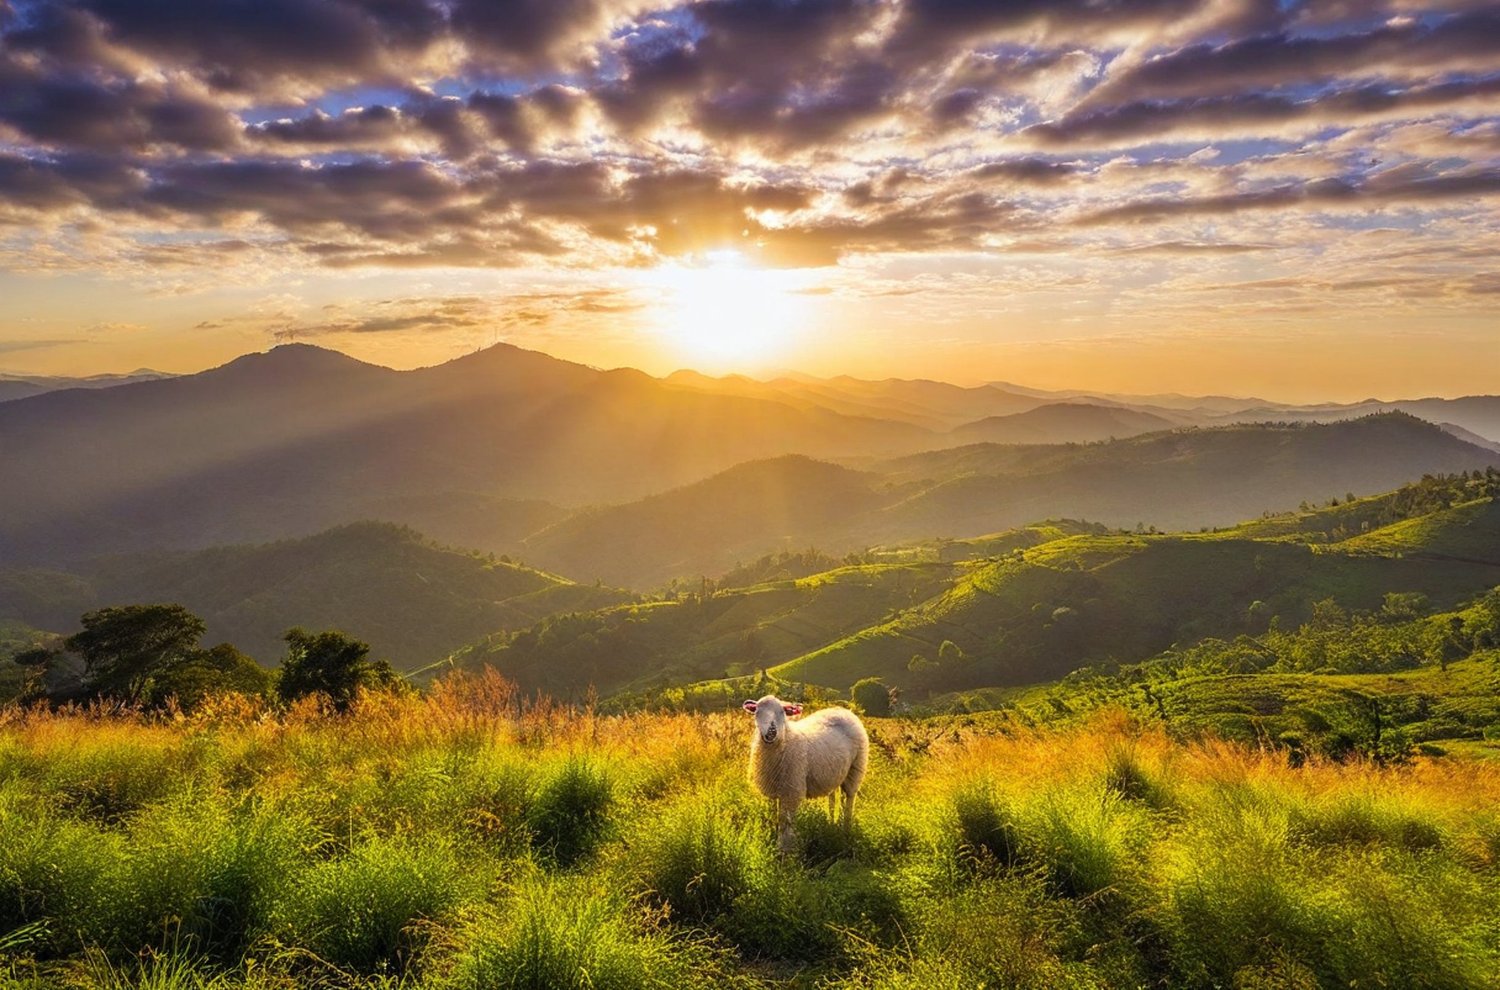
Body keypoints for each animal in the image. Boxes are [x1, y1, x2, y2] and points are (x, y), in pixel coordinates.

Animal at [742, 694, 869, 853]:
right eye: (757, 712)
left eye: (782, 712)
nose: (771, 732)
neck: (785, 739)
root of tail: (844, 711)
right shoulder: (774, 790)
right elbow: (775, 817)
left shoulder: (791, 790)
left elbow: (785, 821)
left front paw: (785, 848)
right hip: (833, 773)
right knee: (833, 799)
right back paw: (832, 822)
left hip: (856, 768)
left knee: (849, 800)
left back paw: (846, 831)